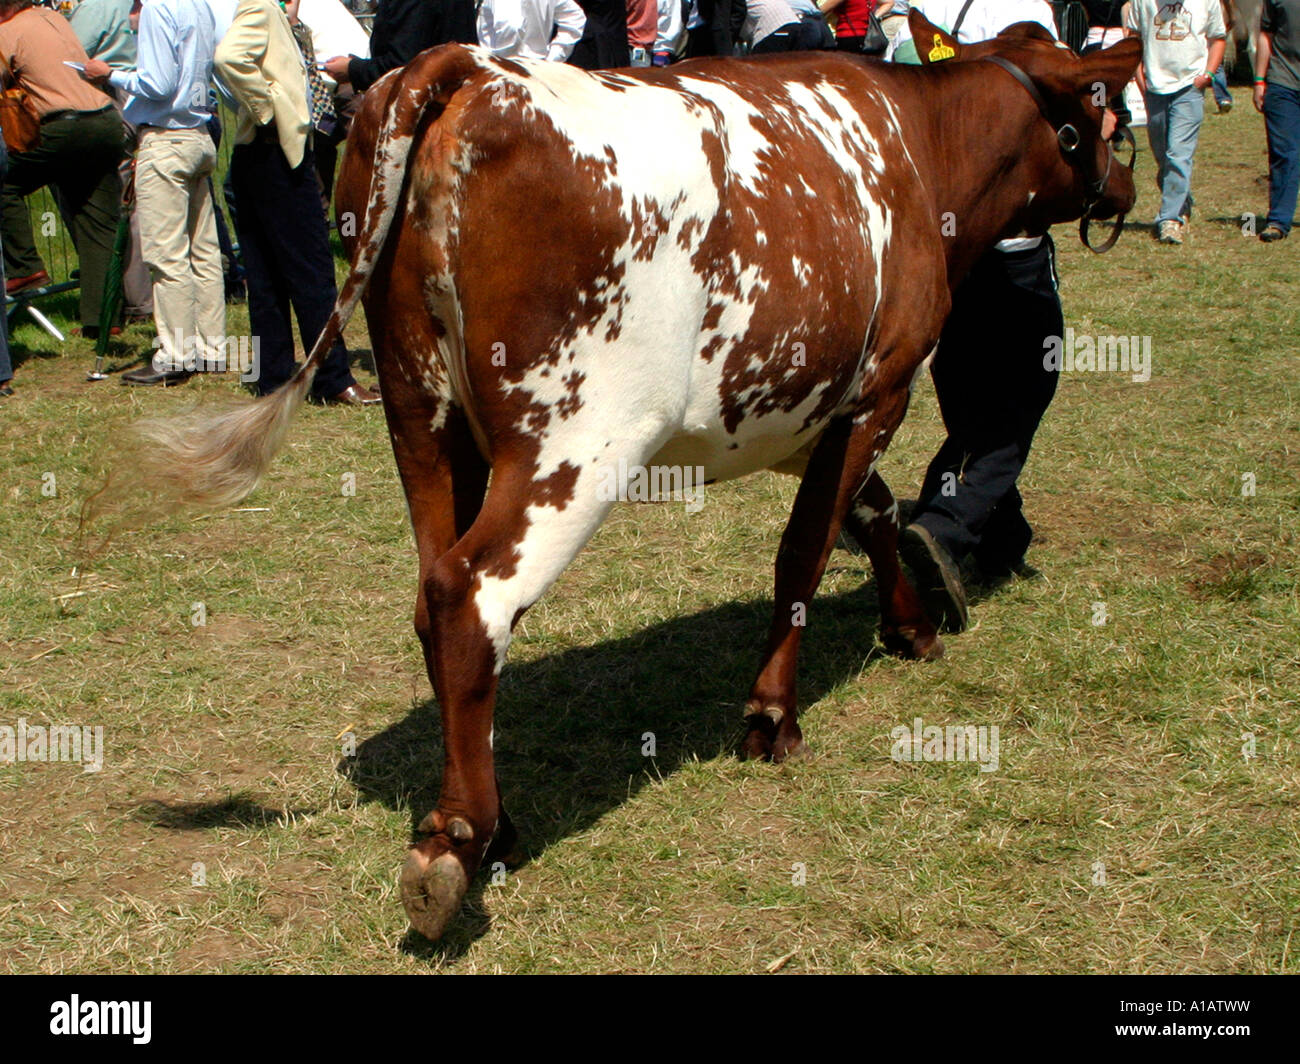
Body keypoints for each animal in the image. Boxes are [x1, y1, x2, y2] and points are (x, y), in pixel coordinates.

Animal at [100, 12, 1142, 941]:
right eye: (1104, 106)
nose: (1124, 185)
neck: (922, 147)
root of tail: (465, 67)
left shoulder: (801, 412)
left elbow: (875, 517)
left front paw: (912, 624)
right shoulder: (877, 387)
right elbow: (805, 553)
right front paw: (774, 716)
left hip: (422, 416)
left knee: (434, 594)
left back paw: (488, 819)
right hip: (580, 439)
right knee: (473, 594)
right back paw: (456, 845)